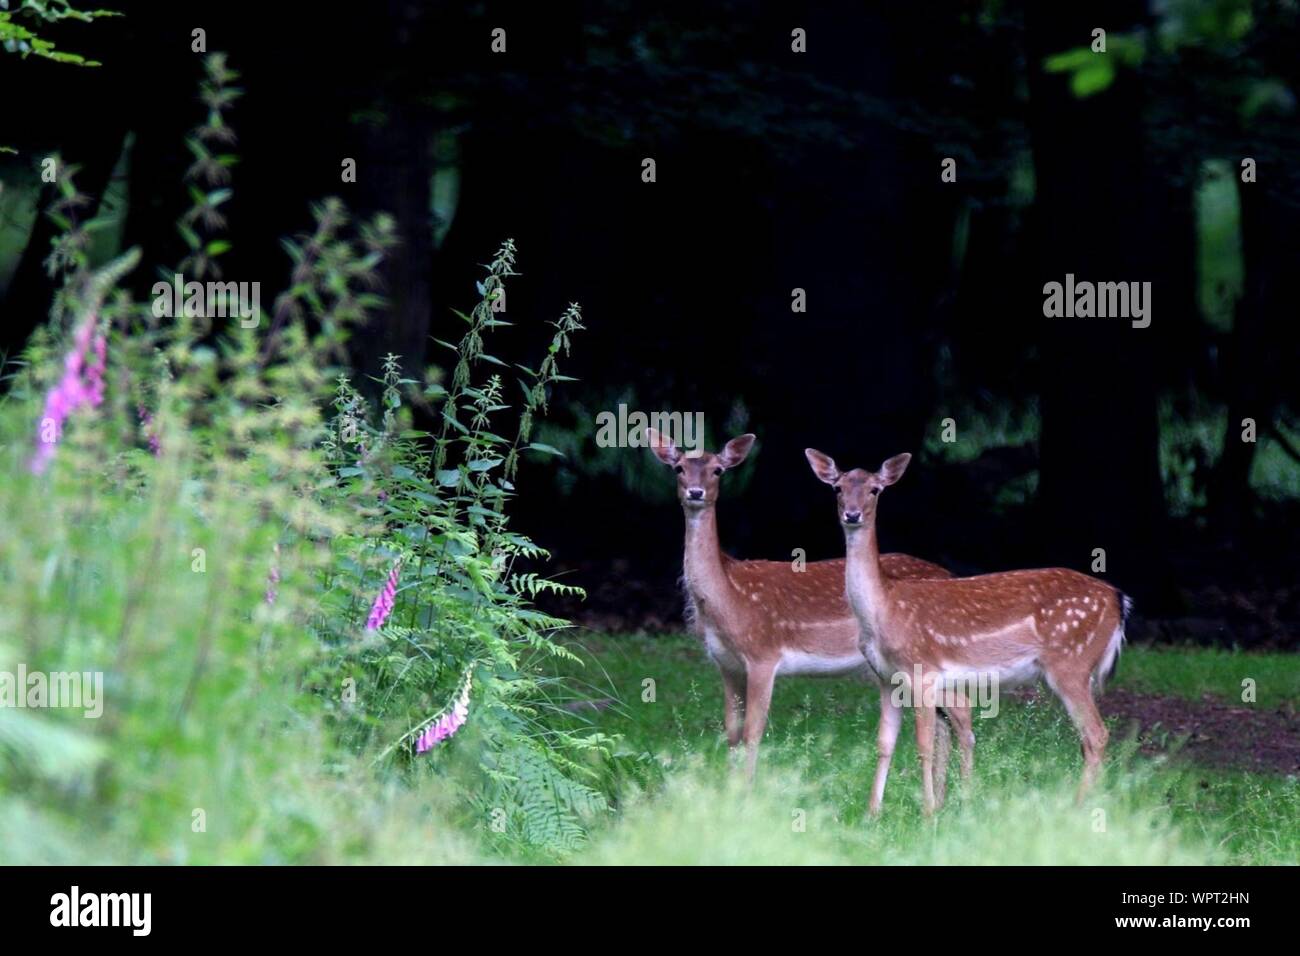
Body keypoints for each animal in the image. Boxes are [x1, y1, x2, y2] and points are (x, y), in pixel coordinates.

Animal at [646, 427, 975, 795]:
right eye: (679, 468)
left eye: (717, 470)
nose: (696, 492)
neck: (728, 599)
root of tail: (950, 575)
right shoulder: (726, 664)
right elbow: (731, 732)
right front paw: (730, 791)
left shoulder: (763, 654)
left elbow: (753, 732)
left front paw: (747, 793)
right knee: (945, 720)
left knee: (961, 711)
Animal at [805, 448, 1132, 815]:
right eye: (838, 487)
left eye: (875, 489)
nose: (852, 514)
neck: (882, 610)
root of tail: (1118, 599)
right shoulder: (887, 679)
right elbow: (884, 742)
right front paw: (872, 813)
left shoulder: (922, 670)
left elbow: (924, 745)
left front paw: (928, 812)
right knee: (1090, 738)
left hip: (1071, 663)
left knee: (1097, 734)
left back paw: (1079, 808)